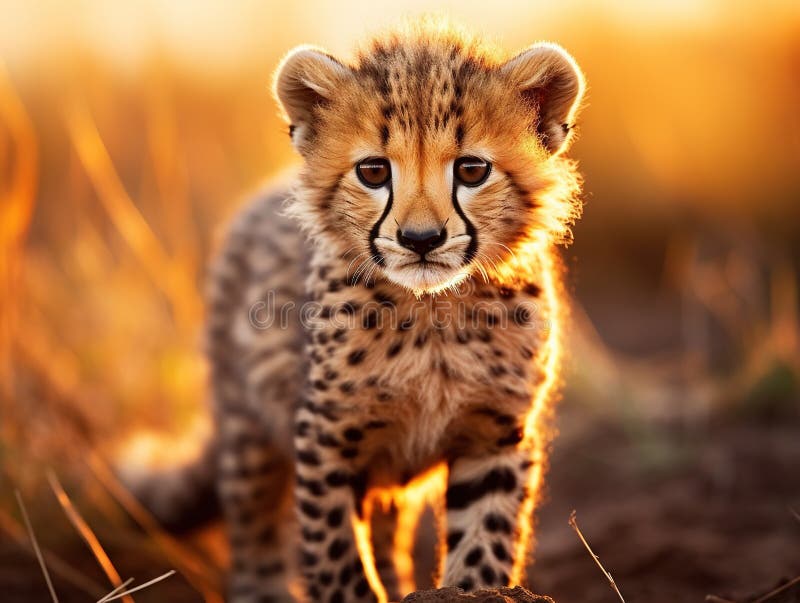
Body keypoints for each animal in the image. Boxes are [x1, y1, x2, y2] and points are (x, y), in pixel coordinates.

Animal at [129, 19, 585, 603]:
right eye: (373, 171)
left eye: (471, 170)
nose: (420, 239)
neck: (433, 314)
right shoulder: (326, 438)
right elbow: (337, 556)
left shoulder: (497, 434)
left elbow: (484, 544)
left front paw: (465, 588)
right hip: (248, 427)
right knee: (254, 527)